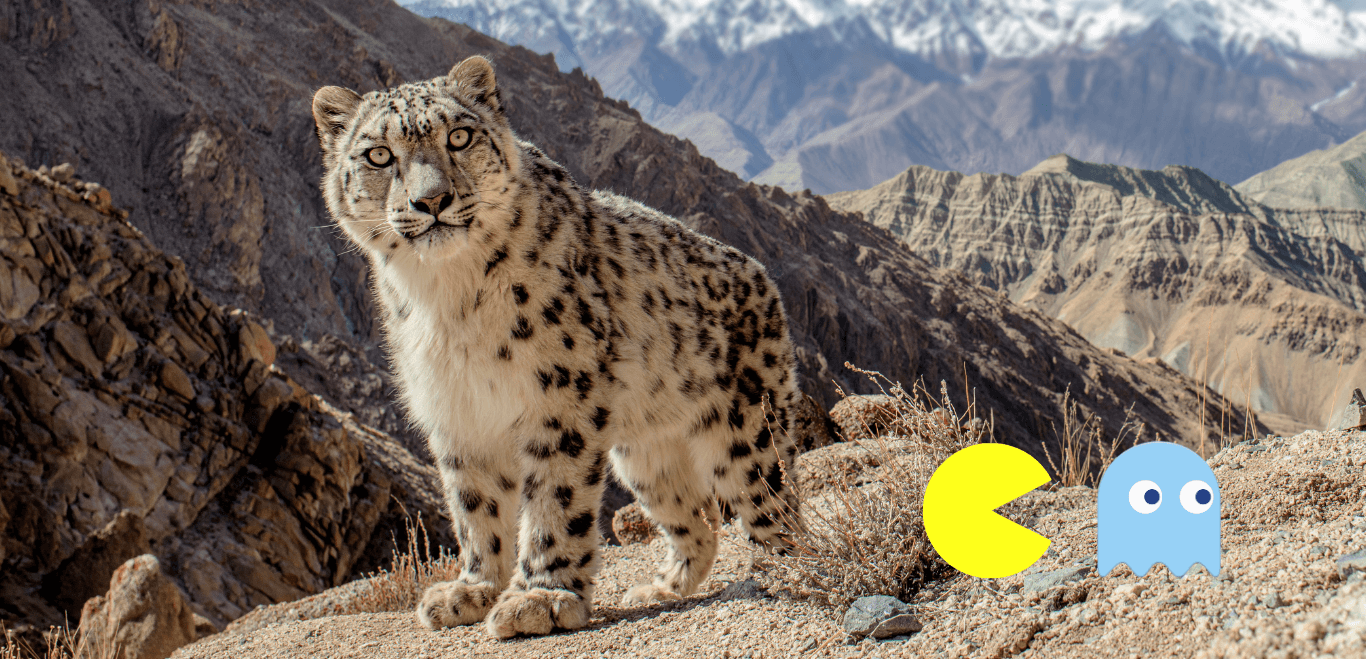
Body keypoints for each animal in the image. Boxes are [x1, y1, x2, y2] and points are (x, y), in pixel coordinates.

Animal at [311, 55, 802, 639]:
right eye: (379, 155)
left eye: (459, 136)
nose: (430, 201)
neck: (447, 298)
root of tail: (762, 276)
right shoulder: (456, 410)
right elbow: (473, 506)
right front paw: (471, 590)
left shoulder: (560, 397)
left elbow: (554, 498)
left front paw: (540, 597)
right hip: (646, 457)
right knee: (697, 516)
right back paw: (661, 587)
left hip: (748, 431)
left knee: (775, 504)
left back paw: (783, 570)